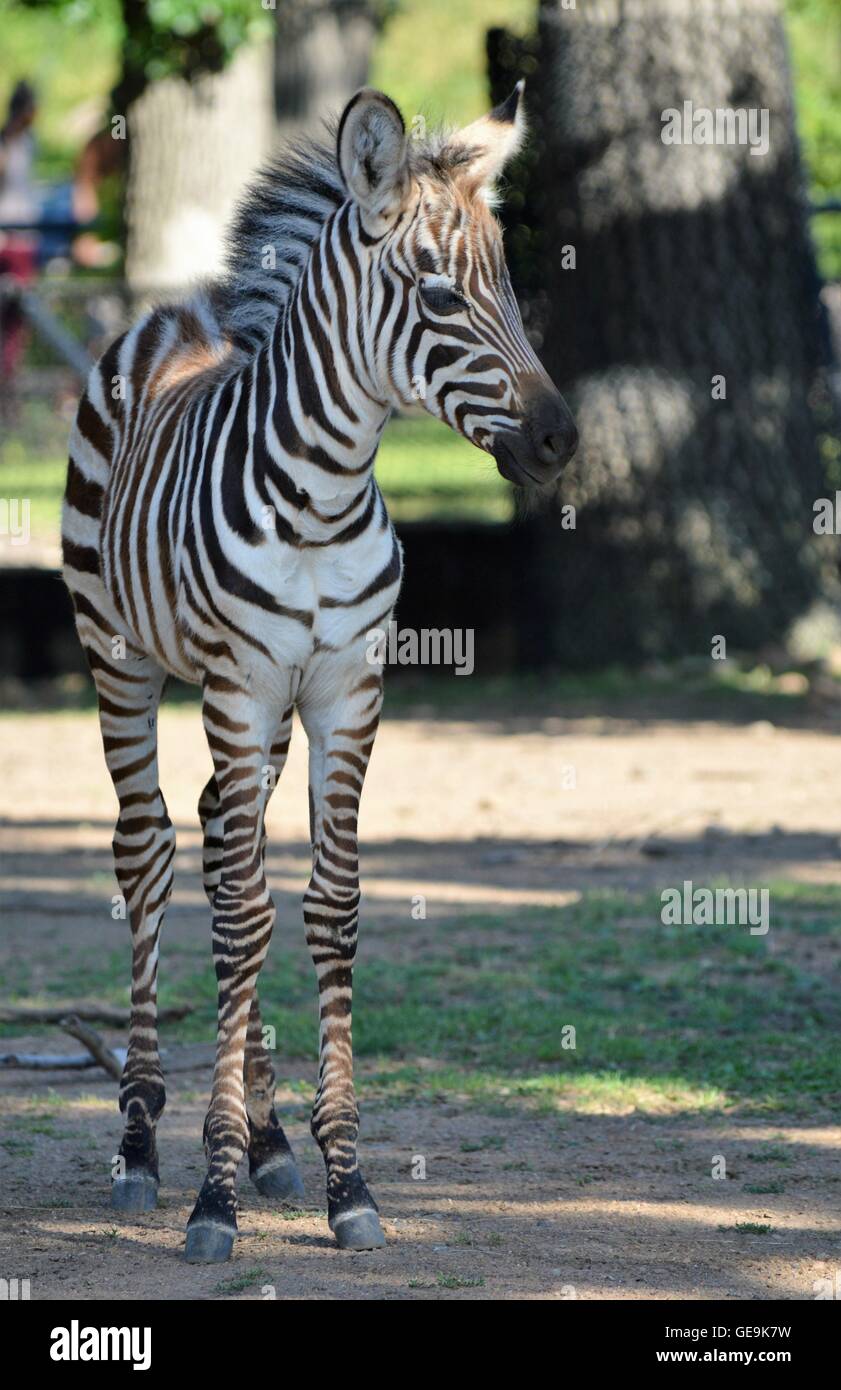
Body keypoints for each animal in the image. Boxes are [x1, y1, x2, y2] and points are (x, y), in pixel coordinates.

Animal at [61, 83, 577, 1264]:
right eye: (439, 294)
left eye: (510, 285)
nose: (558, 439)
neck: (322, 497)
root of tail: (177, 315)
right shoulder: (241, 687)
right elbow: (248, 917)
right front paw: (210, 1197)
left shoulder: (348, 692)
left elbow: (321, 910)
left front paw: (342, 1176)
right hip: (120, 657)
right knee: (150, 855)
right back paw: (141, 1143)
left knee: (218, 847)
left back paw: (265, 1139)